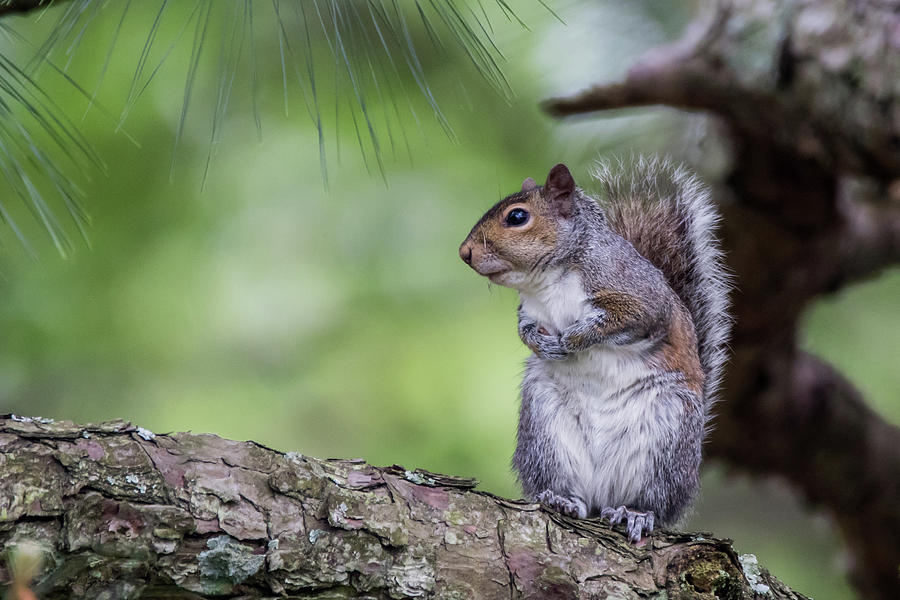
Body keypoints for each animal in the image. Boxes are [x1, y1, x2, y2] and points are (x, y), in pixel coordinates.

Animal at [458, 157, 730, 543]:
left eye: (517, 216)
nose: (464, 252)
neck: (548, 281)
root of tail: (604, 495)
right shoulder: (529, 313)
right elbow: (524, 332)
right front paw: (544, 345)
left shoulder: (639, 297)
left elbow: (621, 321)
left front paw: (572, 340)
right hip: (546, 432)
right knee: (571, 490)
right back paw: (562, 499)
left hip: (665, 438)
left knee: (654, 501)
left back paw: (635, 514)